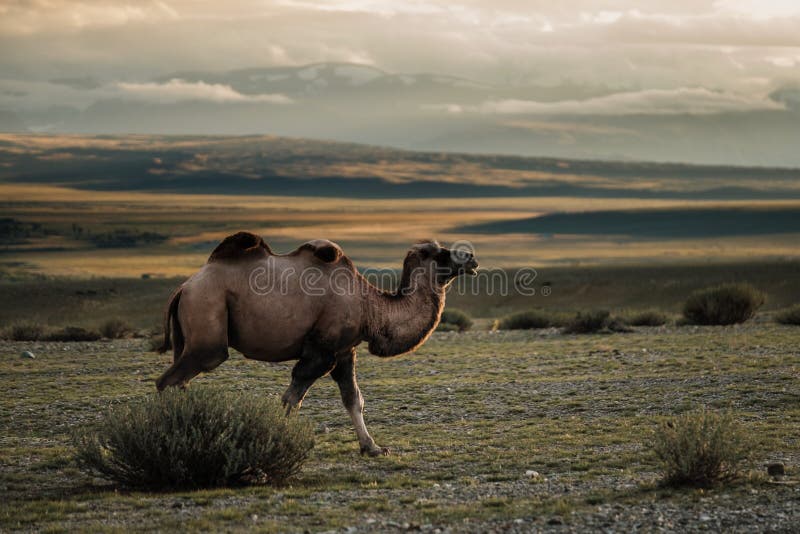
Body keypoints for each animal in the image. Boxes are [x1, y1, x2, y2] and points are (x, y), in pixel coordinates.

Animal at [155, 232, 478, 456]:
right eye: (438, 253)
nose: (472, 258)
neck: (368, 305)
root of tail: (184, 288)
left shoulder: (345, 351)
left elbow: (353, 399)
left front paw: (373, 448)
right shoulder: (322, 351)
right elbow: (292, 398)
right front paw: (280, 439)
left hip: (191, 334)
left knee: (179, 381)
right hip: (208, 322)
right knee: (169, 380)